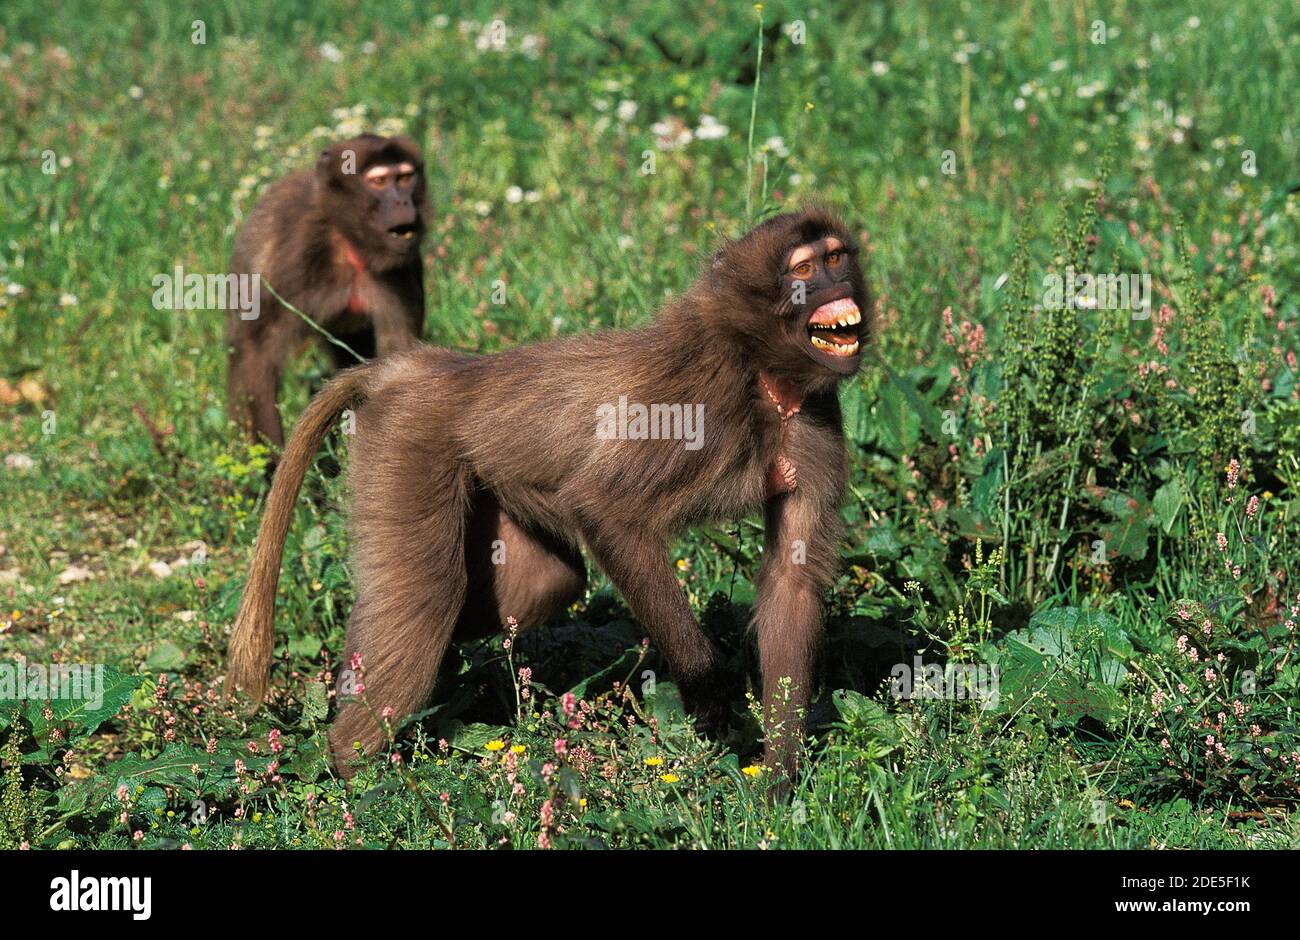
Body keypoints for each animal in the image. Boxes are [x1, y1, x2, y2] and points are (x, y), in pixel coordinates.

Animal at [226, 134, 429, 450]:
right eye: (379, 181)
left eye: (406, 177)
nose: (402, 201)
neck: (349, 243)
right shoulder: (296, 258)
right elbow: (257, 350)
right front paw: (271, 458)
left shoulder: (403, 269)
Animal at [226, 206, 870, 782]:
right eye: (805, 268)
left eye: (837, 258)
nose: (838, 283)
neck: (761, 369)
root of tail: (424, 370)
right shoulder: (697, 398)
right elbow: (608, 510)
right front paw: (708, 691)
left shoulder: (817, 416)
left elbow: (791, 581)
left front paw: (778, 781)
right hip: (408, 447)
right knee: (428, 597)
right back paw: (352, 779)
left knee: (541, 584)